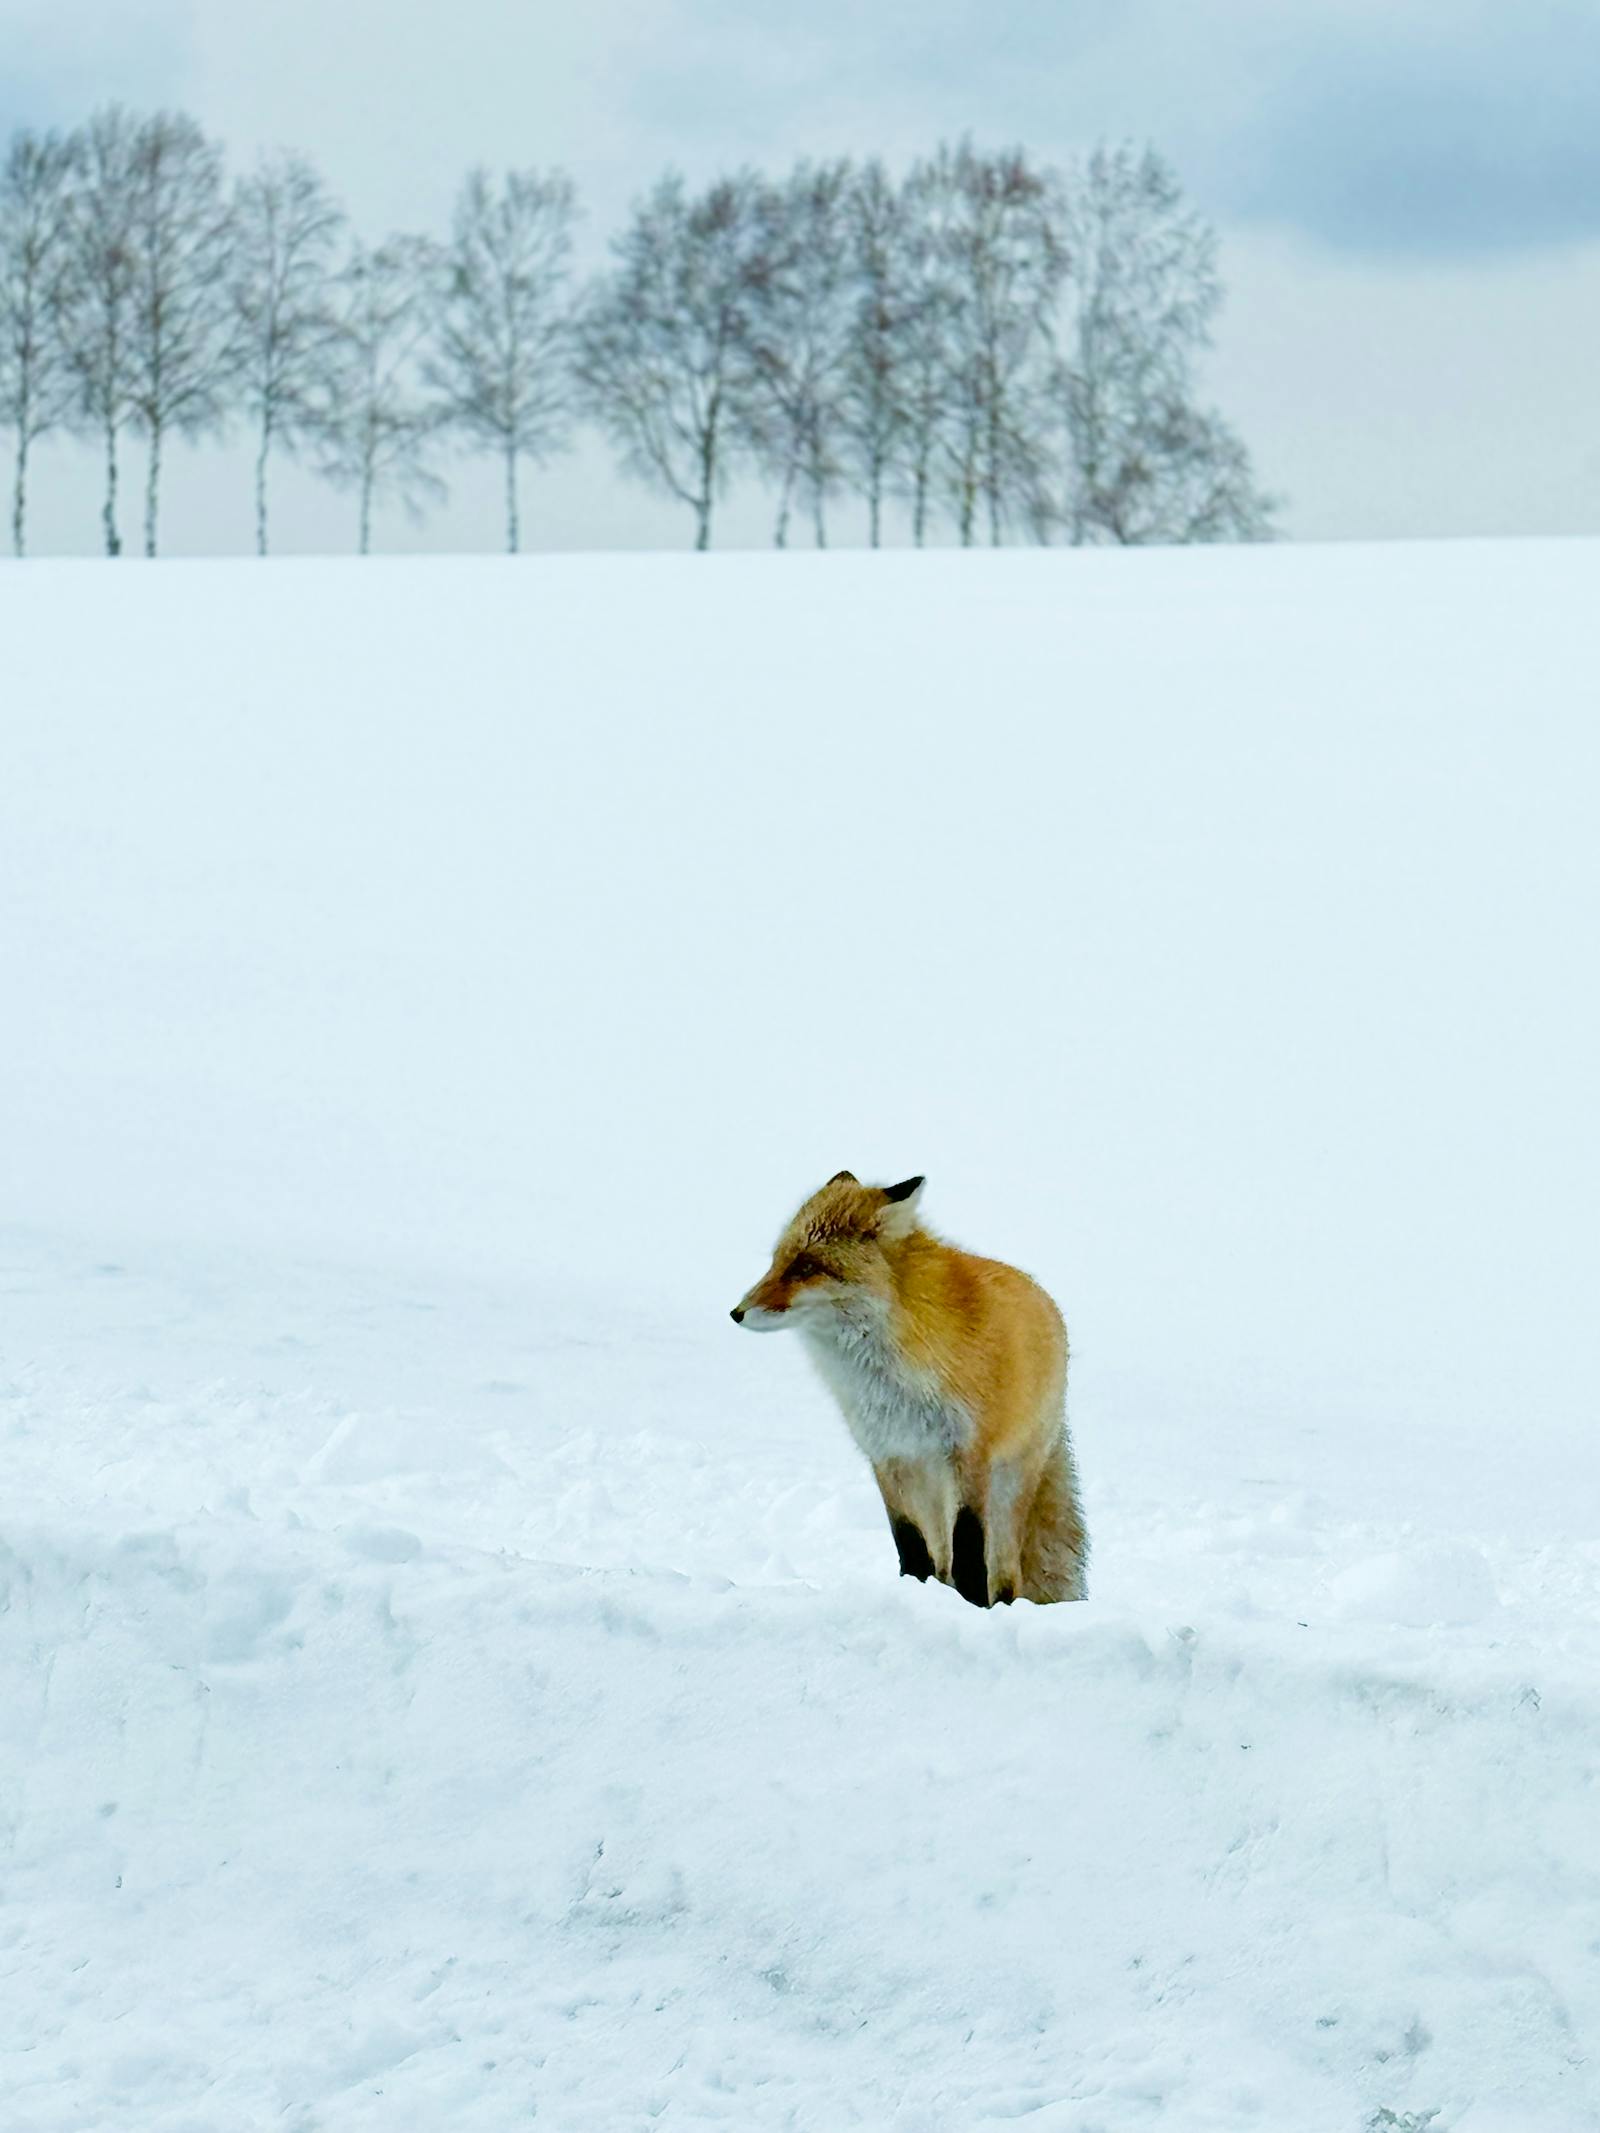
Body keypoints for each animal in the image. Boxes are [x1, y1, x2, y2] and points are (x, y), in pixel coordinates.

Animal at [732, 1172, 1087, 1607]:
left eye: (807, 1266)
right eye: (778, 1261)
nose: (736, 1312)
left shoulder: (969, 1453)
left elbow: (970, 1550)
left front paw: (970, 1607)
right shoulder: (889, 1453)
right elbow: (911, 1547)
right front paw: (914, 1592)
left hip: (1009, 1483)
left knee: (1005, 1573)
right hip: (932, 1480)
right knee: (942, 1558)